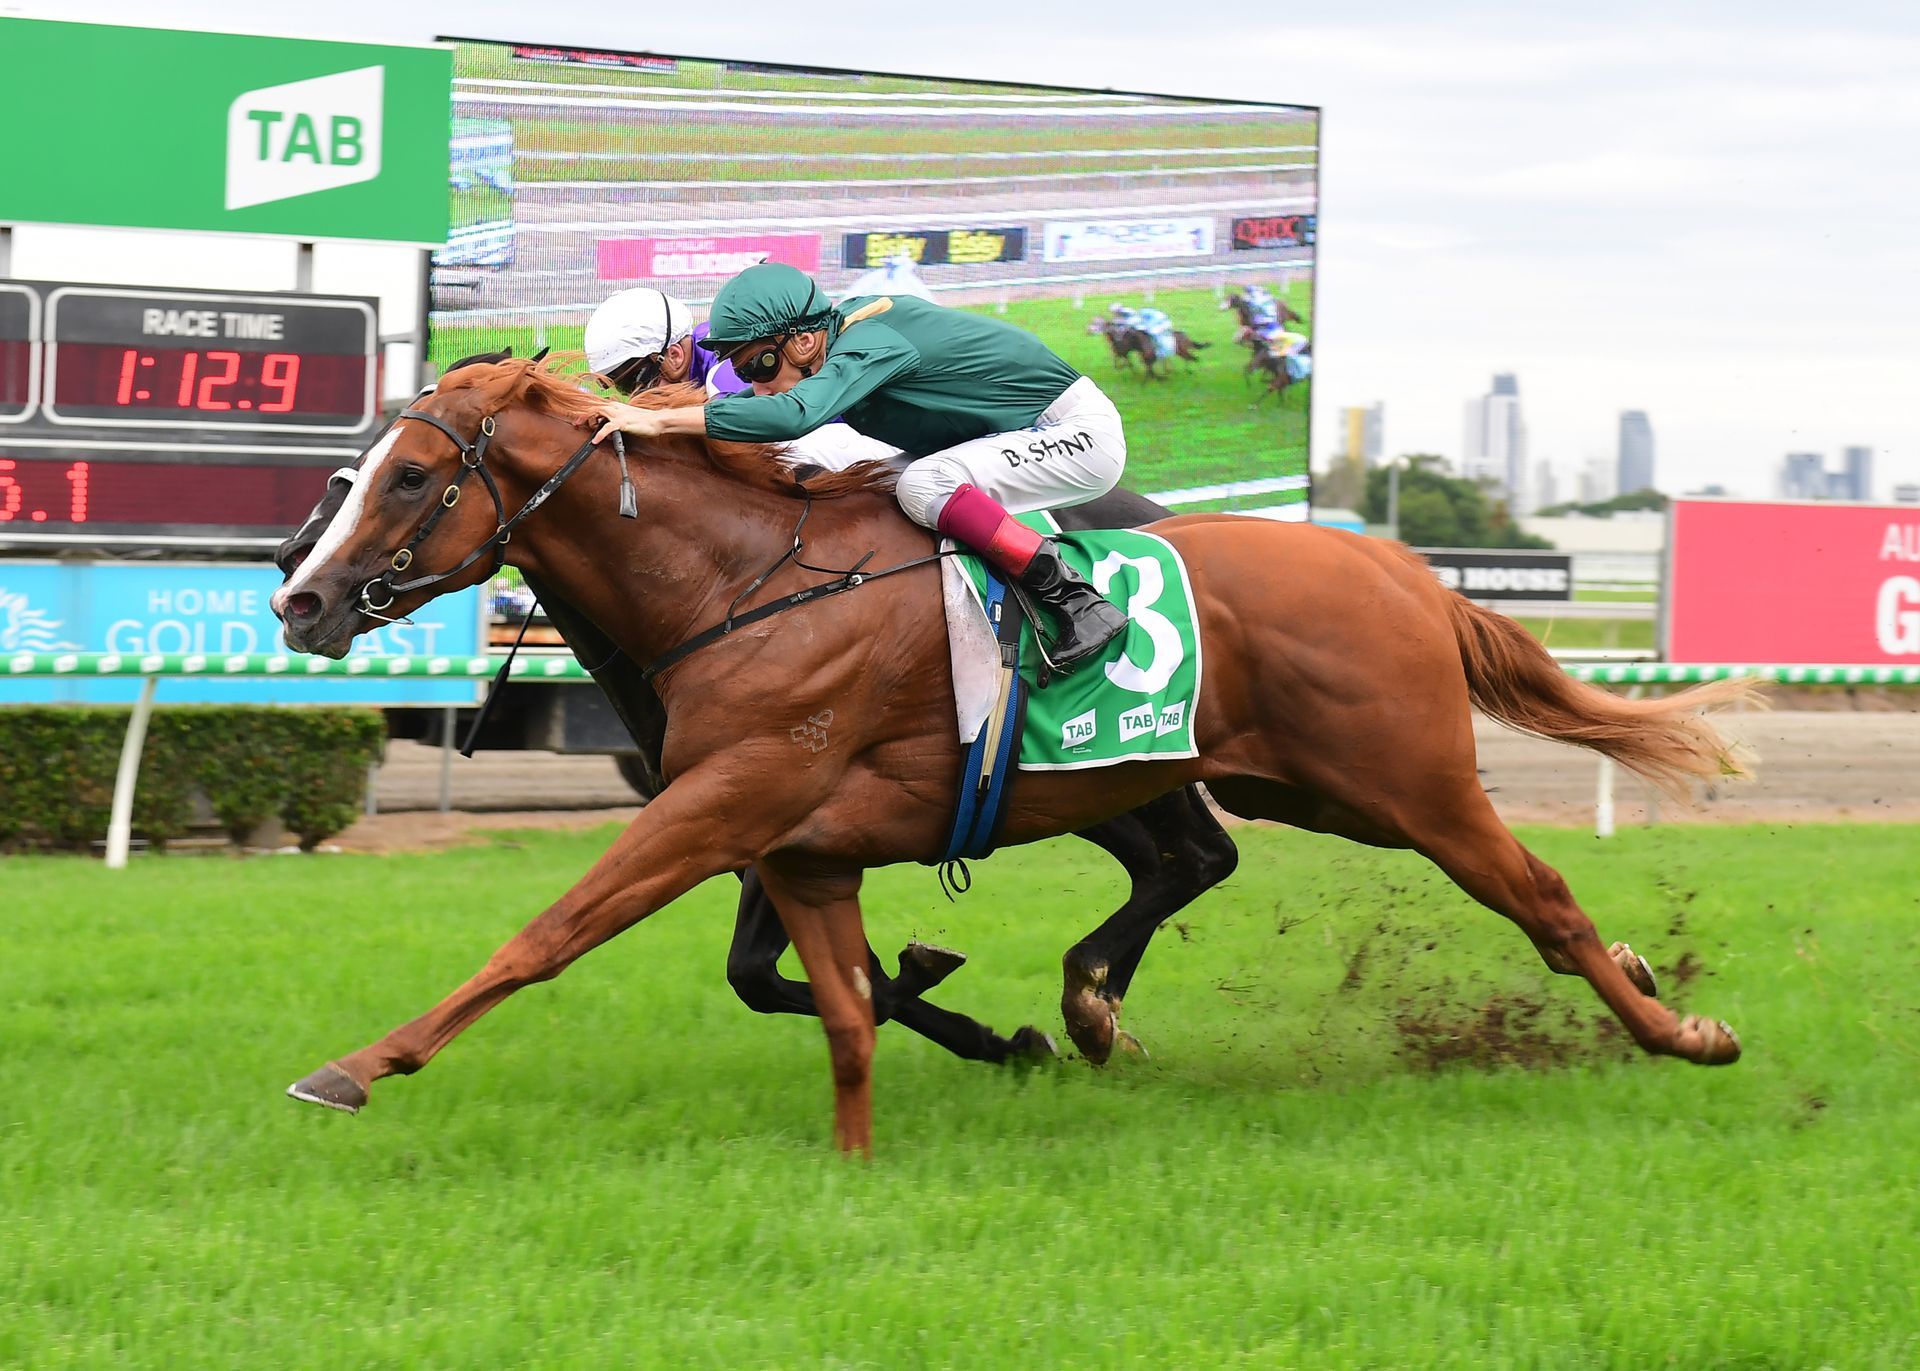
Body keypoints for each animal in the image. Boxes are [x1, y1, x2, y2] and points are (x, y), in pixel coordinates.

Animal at [275, 417, 1238, 1067]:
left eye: (405, 476)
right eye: (346, 473)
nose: (295, 585)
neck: (724, 585)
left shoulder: (768, 792)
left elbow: (782, 972)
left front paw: (987, 1018)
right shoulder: (748, 818)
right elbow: (778, 975)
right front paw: (981, 1021)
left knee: (1201, 856)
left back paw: (1093, 1004)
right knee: (1178, 861)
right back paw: (1100, 1008)